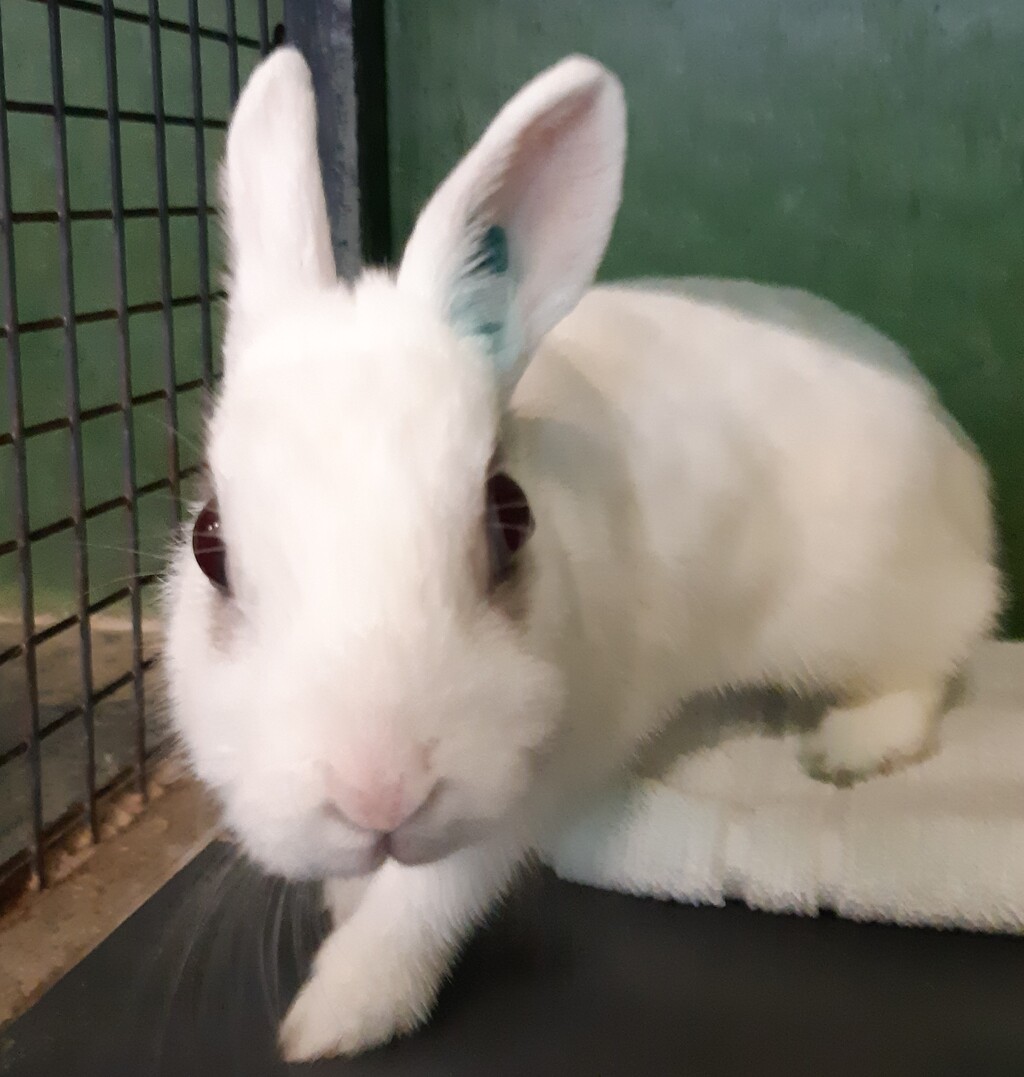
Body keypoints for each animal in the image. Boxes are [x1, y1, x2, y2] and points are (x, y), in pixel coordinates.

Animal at [163, 47, 1001, 1061]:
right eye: (208, 545)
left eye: (508, 516)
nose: (380, 794)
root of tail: (959, 458)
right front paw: (348, 897)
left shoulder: (523, 788)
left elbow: (427, 899)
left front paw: (337, 1012)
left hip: (863, 605)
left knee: (933, 660)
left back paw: (848, 746)